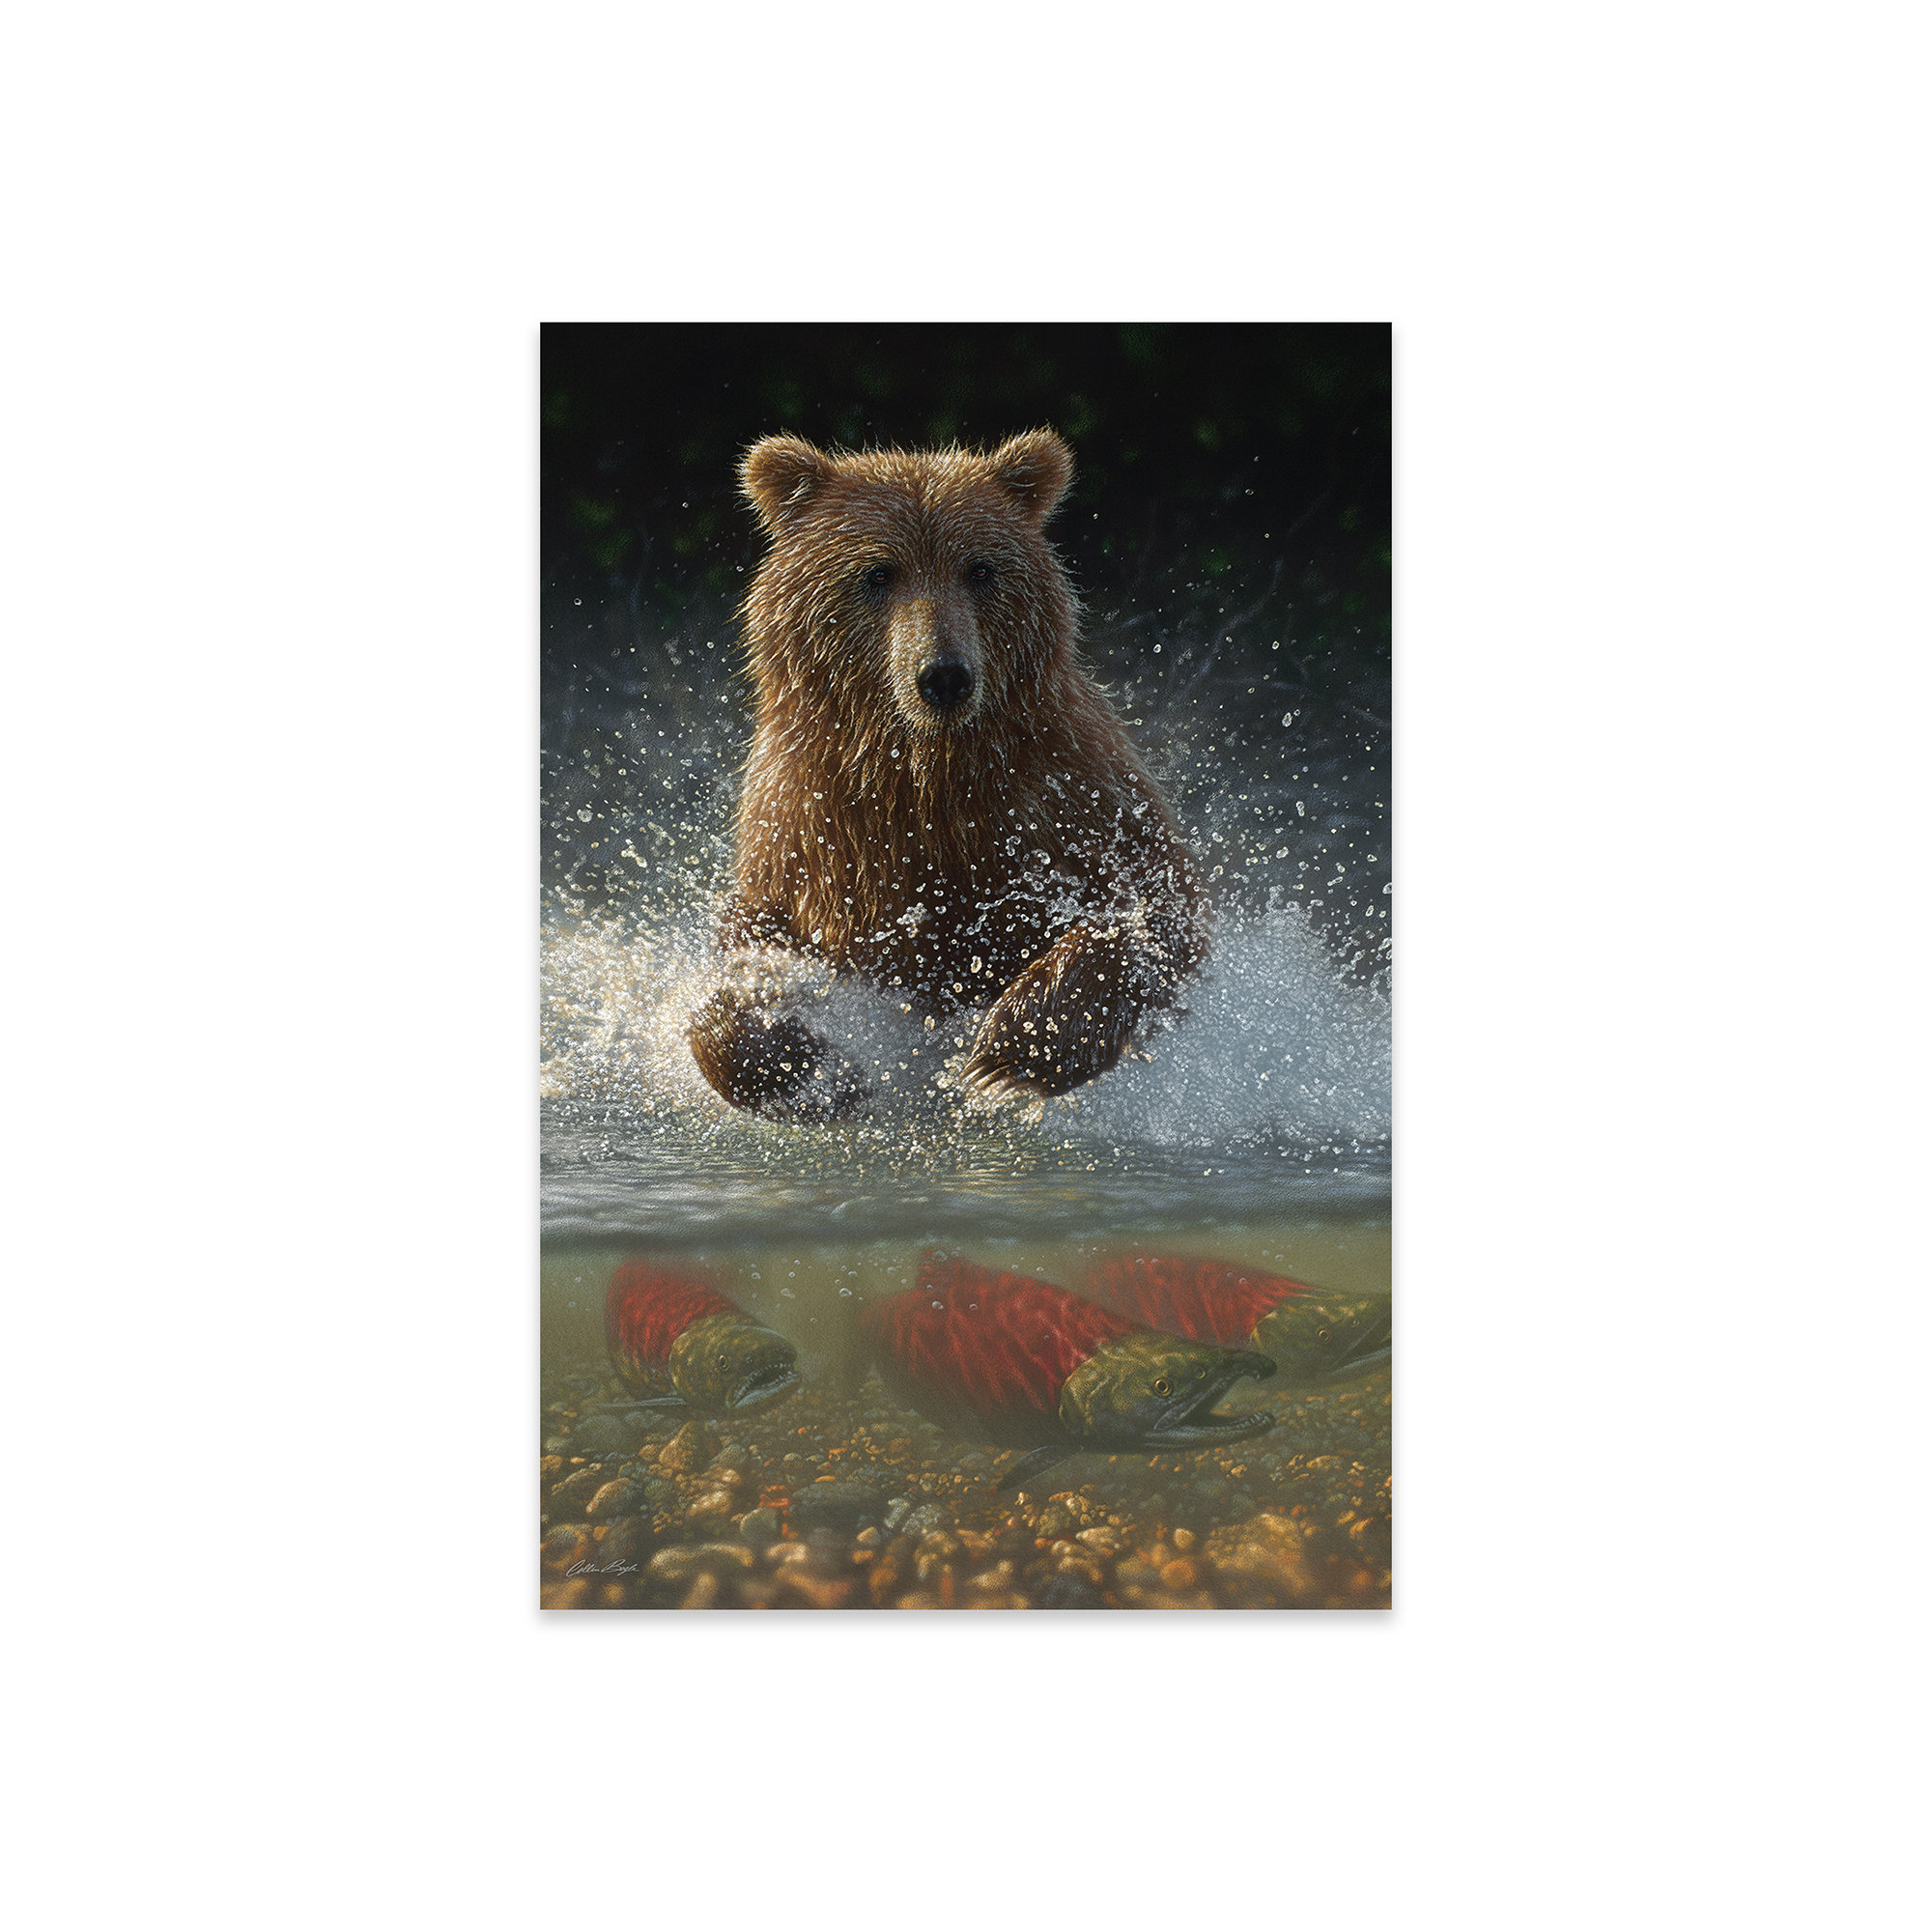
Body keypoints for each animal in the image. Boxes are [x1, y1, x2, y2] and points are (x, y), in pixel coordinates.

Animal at [687, 429, 1207, 1118]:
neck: (926, 769)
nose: (944, 676)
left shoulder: (1069, 797)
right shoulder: (808, 829)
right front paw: (818, 1072)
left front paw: (1013, 1049)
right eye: (878, 572)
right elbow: (742, 966)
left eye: (979, 569)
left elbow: (1157, 916)